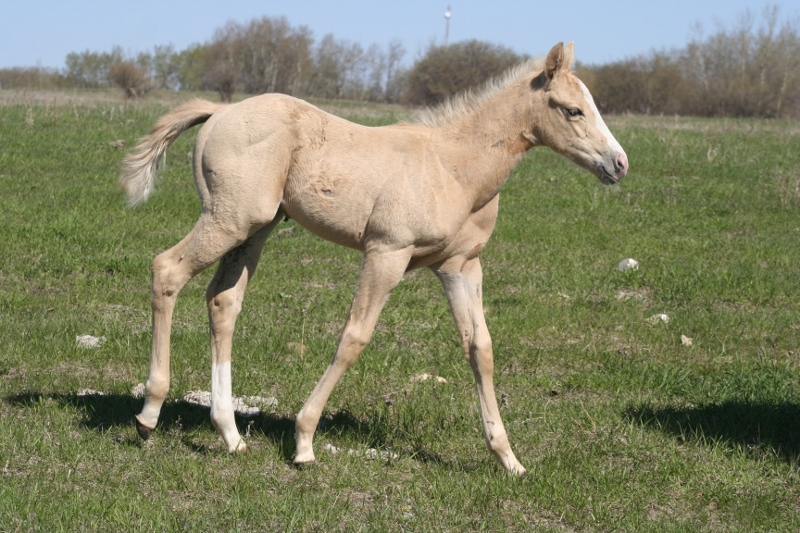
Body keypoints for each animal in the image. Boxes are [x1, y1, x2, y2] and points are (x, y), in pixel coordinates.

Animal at [120, 42, 628, 475]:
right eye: (573, 109)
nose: (619, 164)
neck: (453, 168)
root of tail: (222, 110)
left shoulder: (461, 266)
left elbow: (479, 349)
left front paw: (509, 459)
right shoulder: (387, 252)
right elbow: (355, 337)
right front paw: (304, 441)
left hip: (255, 228)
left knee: (223, 302)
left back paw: (230, 434)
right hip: (230, 219)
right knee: (167, 270)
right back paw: (149, 414)